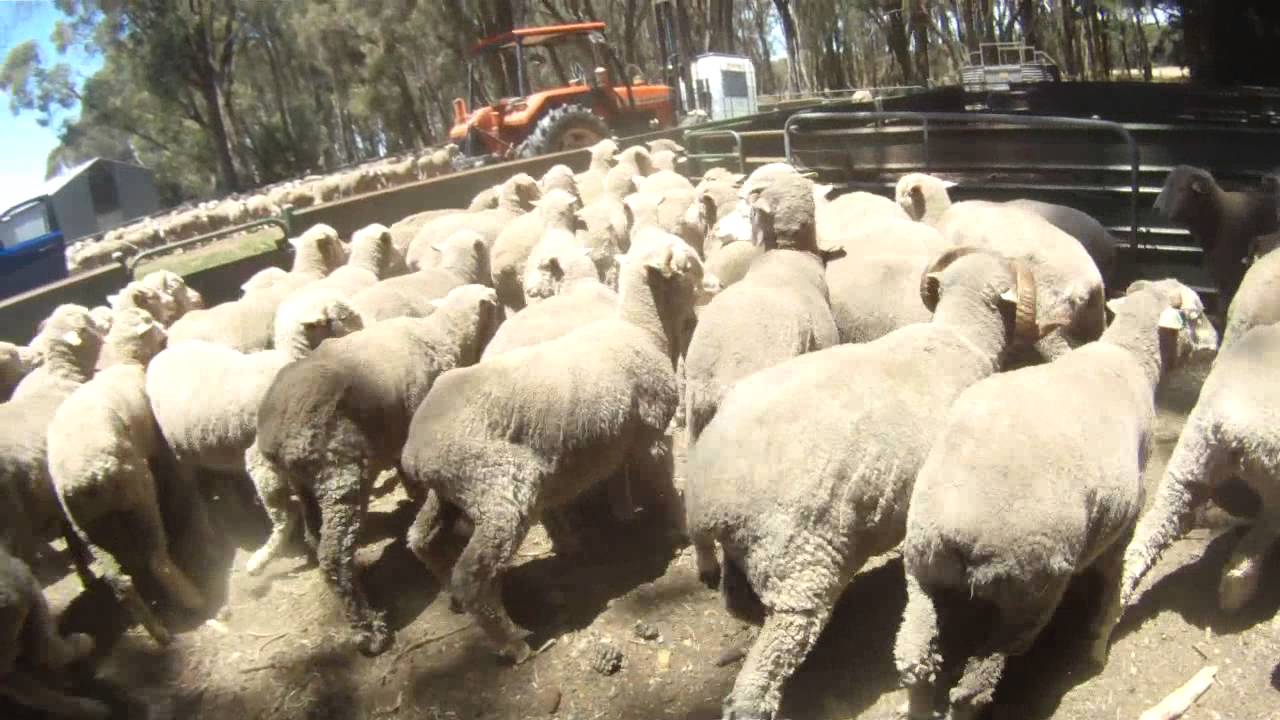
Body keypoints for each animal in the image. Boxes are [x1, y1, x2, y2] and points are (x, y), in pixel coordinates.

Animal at [47, 308, 197, 646]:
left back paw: (159, 634)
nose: (165, 330)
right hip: (138, 492)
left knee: (120, 581)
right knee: (156, 557)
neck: (123, 362)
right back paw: (192, 598)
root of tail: (85, 480)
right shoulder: (159, 449)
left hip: (90, 525)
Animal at [247, 284, 500, 654]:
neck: (441, 335)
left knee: (315, 537)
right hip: (340, 474)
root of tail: (271, 435)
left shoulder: (399, 435)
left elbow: (409, 477)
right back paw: (370, 629)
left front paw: (415, 503)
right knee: (333, 556)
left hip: (306, 483)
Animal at [398, 234, 707, 664]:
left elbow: (619, 481)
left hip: (451, 488)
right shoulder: (652, 436)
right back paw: (512, 642)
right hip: (498, 486)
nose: (712, 282)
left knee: (421, 540)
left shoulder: (619, 439)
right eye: (689, 264)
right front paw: (680, 527)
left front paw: (624, 514)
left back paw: (452, 596)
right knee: (473, 573)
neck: (643, 330)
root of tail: (414, 449)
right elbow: (662, 488)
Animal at [894, 279, 1217, 720]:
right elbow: (1114, 577)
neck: (1130, 356)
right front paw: (1099, 644)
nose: (1216, 343)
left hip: (922, 573)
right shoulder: (1127, 515)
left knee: (915, 663)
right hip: (1029, 591)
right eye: (1197, 314)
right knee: (974, 687)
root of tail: (956, 532)